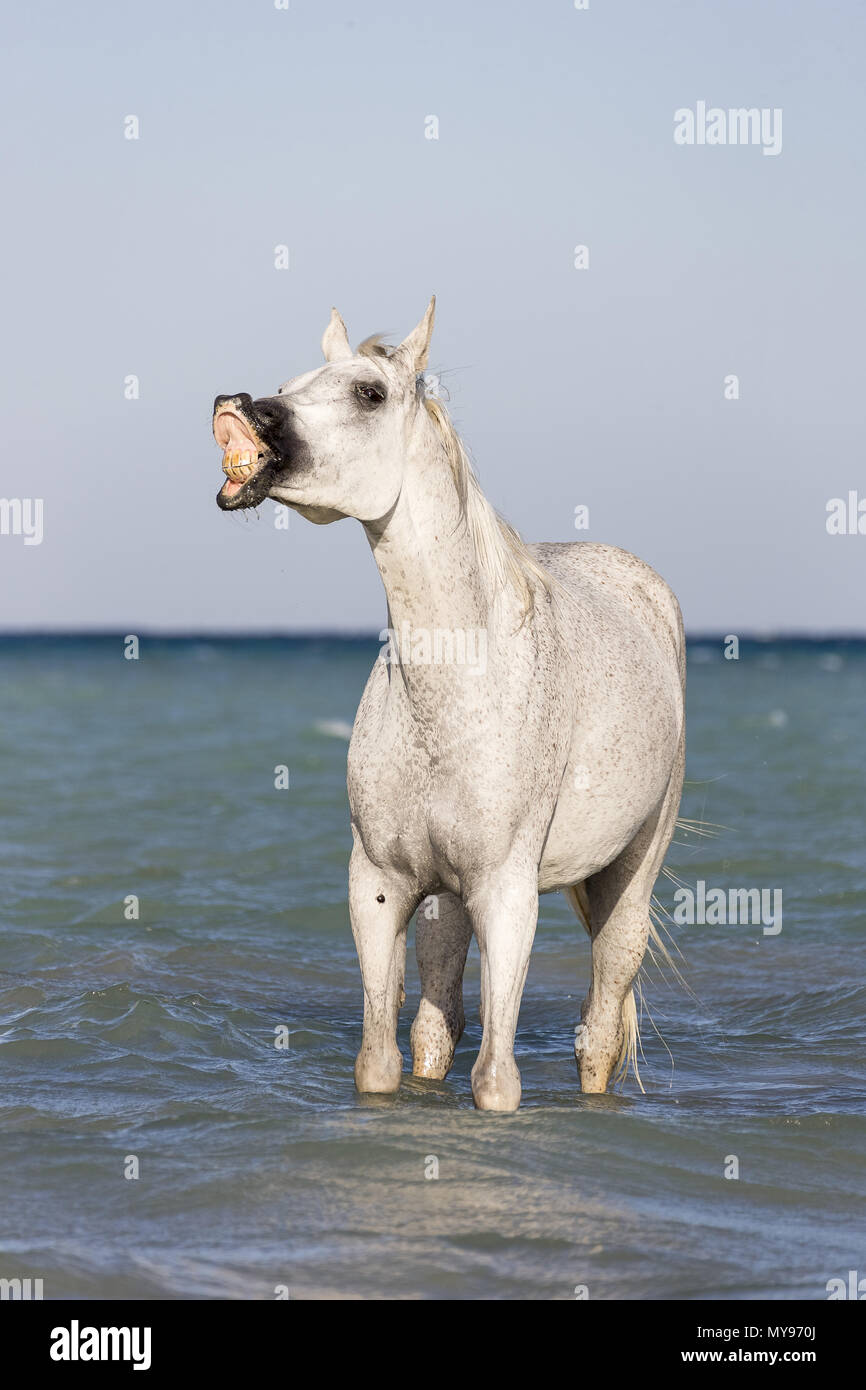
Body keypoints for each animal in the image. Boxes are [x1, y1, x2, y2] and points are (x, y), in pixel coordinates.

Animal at [213, 299, 686, 1112]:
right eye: (286, 383)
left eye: (370, 392)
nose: (238, 408)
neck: (457, 689)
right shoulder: (379, 886)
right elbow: (381, 1061)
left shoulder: (507, 896)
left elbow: (495, 1081)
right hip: (445, 902)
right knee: (438, 1026)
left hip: (629, 879)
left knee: (598, 1032)